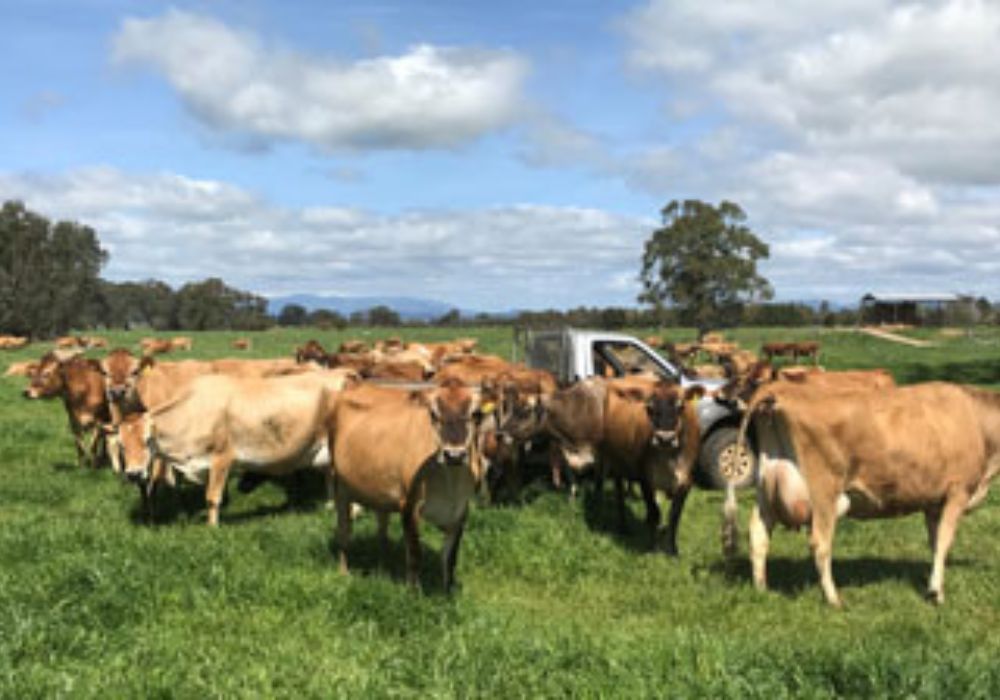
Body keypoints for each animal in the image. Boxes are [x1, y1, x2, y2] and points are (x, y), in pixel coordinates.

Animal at [112, 369, 358, 525]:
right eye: (122, 445)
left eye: (147, 440)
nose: (134, 474)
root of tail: (343, 374)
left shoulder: (222, 458)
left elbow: (213, 498)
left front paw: (212, 529)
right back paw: (332, 507)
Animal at [328, 377, 486, 592]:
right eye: (433, 414)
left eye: (476, 413)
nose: (454, 455)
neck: (449, 484)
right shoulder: (409, 506)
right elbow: (415, 554)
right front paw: (413, 592)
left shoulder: (460, 512)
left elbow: (450, 558)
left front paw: (448, 589)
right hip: (338, 483)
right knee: (344, 531)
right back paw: (344, 572)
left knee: (382, 528)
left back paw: (383, 559)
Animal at [542, 376, 704, 555]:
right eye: (649, 408)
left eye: (680, 406)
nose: (665, 438)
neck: (668, 457)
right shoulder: (645, 479)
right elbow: (655, 513)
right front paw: (652, 547)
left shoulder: (686, 482)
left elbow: (674, 517)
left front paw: (672, 550)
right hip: (614, 461)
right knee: (618, 493)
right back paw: (622, 526)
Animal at [730, 380, 1000, 606]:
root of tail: (779, 387)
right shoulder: (958, 491)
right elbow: (945, 541)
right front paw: (937, 593)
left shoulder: (933, 502)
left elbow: (935, 544)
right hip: (824, 492)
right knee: (819, 543)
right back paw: (833, 599)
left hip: (767, 491)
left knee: (758, 535)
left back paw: (762, 589)